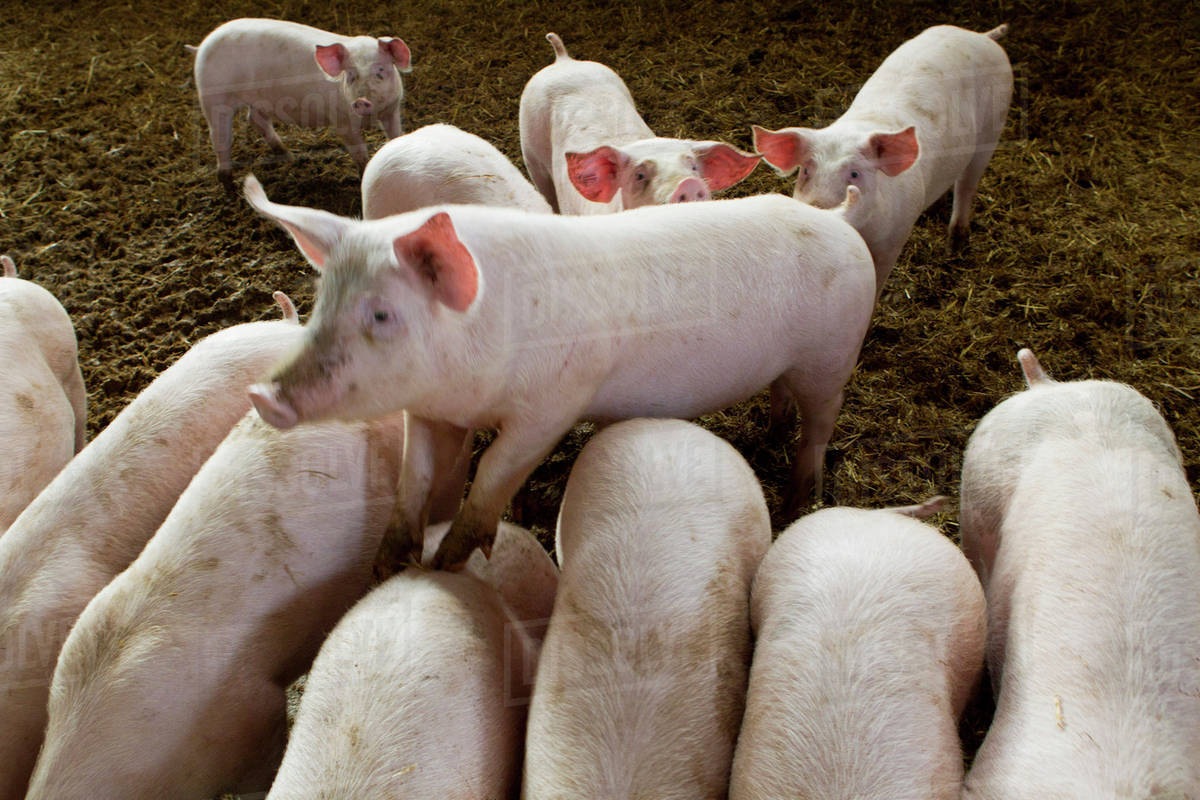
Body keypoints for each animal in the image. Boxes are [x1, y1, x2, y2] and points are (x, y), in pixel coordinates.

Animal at [189, 17, 412, 190]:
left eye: (380, 70)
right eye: (350, 75)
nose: (361, 101)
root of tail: (202, 45)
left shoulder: (392, 109)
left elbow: (396, 135)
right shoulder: (342, 121)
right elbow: (359, 154)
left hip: (259, 99)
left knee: (255, 119)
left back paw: (288, 156)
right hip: (213, 97)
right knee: (220, 137)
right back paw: (230, 186)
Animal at [241, 174, 874, 569]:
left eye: (380, 314)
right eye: (322, 301)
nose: (263, 394)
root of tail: (839, 218)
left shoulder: (554, 404)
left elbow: (494, 471)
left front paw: (447, 564)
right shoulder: (426, 408)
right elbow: (412, 476)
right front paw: (387, 562)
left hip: (833, 357)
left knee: (820, 428)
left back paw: (795, 503)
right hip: (795, 366)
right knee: (783, 397)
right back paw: (771, 431)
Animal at [752, 24, 1012, 296]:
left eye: (855, 174)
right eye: (806, 171)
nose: (817, 208)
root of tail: (980, 36)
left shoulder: (894, 240)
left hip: (993, 128)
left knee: (967, 184)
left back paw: (955, 244)